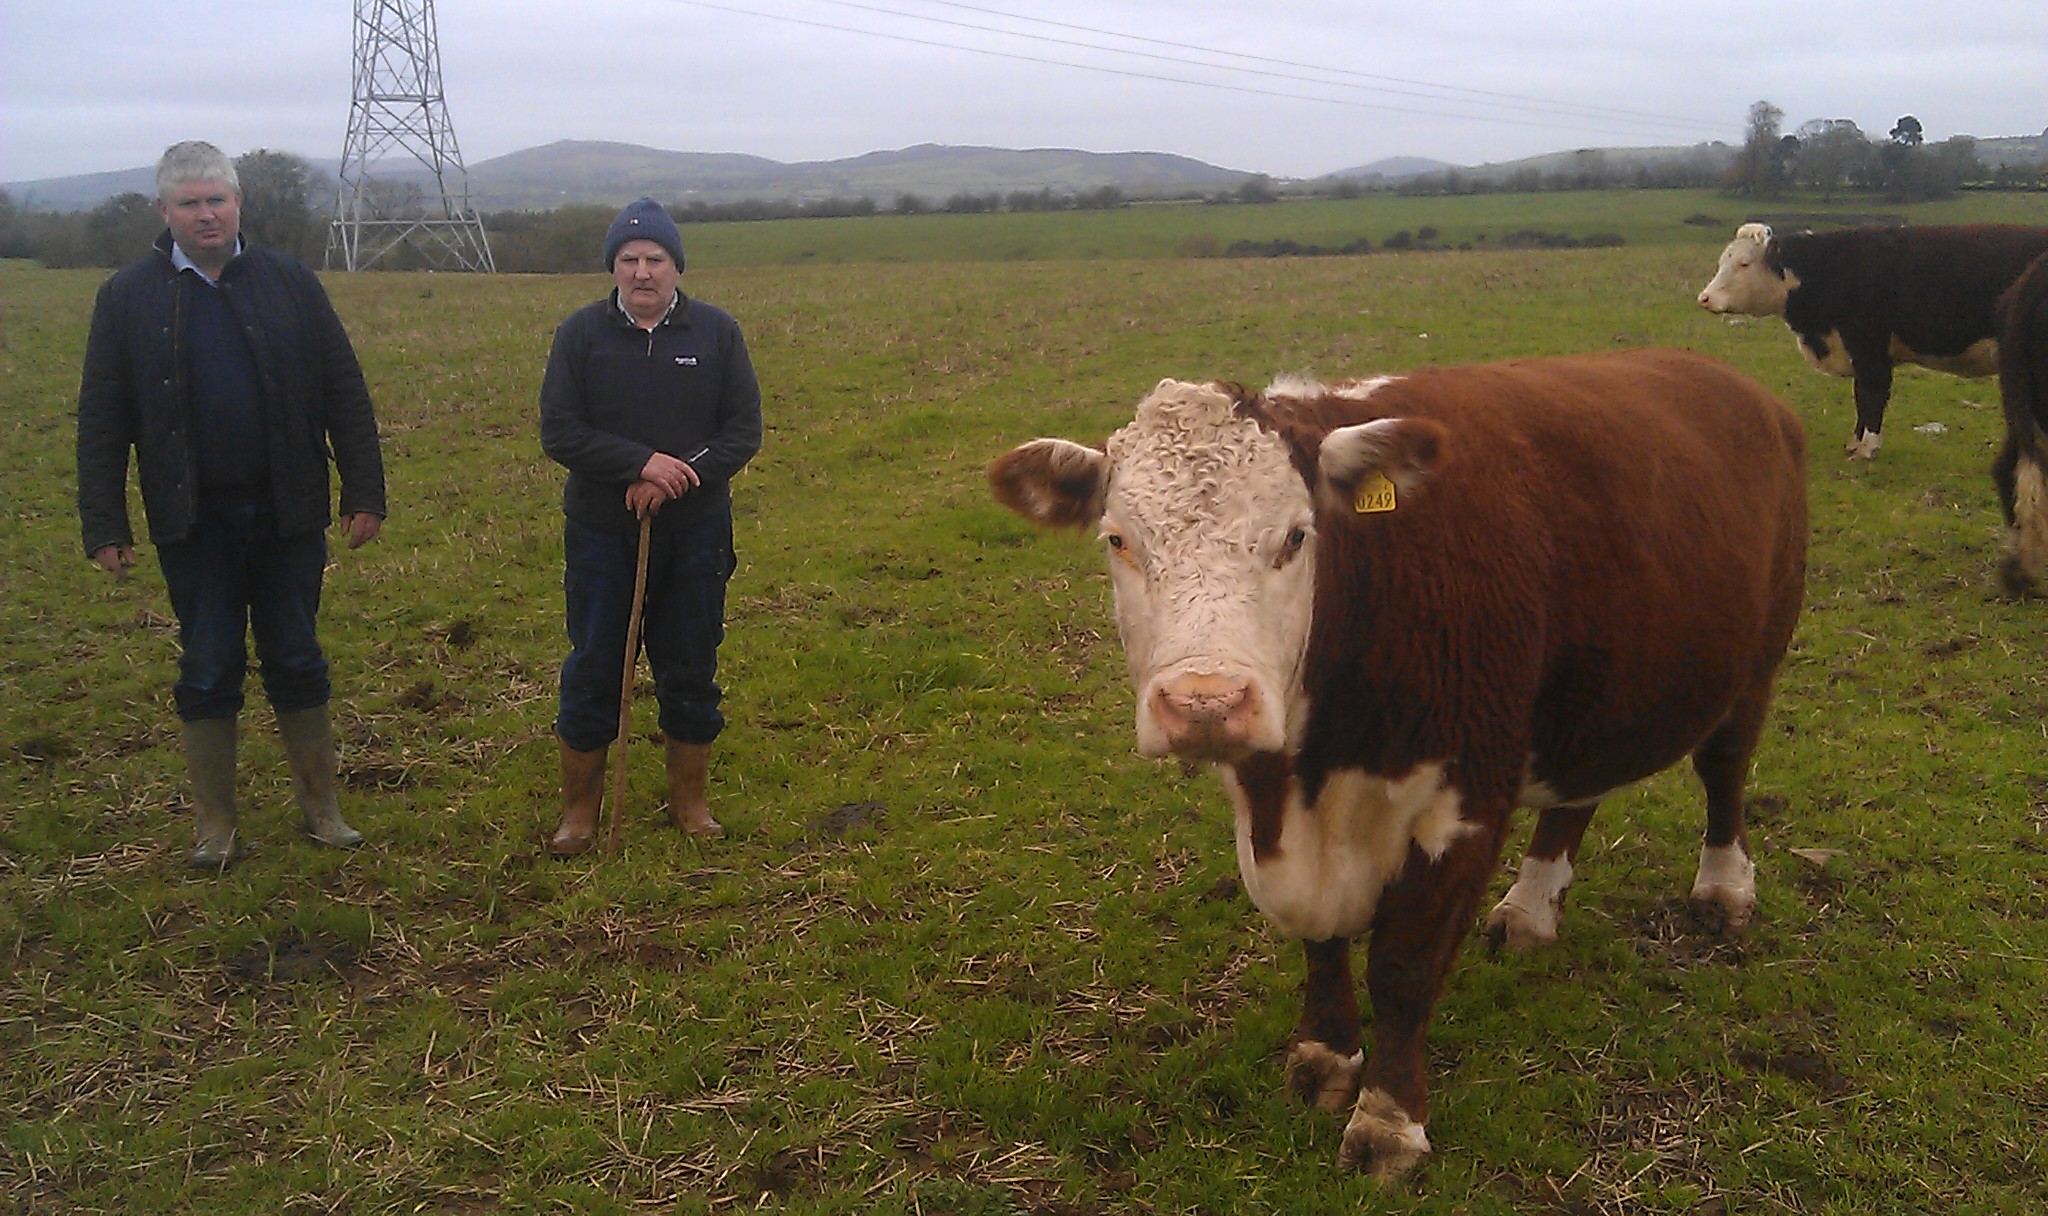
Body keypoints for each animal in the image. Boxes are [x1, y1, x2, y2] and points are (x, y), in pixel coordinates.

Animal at [989, 349, 1808, 1181]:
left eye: (1296, 537)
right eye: (1119, 540)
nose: (1206, 702)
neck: (1315, 774)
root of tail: (1720, 374)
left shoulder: (1469, 794)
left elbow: (1405, 966)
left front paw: (1388, 1121)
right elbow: (1320, 941)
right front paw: (1324, 1054)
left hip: (1756, 658)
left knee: (1725, 770)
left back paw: (1723, 888)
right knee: (1579, 791)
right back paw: (1532, 908)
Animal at [1697, 222, 2048, 459]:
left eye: (1744, 263)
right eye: (1722, 260)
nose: (1705, 298)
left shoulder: (1870, 350)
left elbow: (1870, 396)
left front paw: (1867, 448)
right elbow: (1859, 399)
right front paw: (1855, 442)